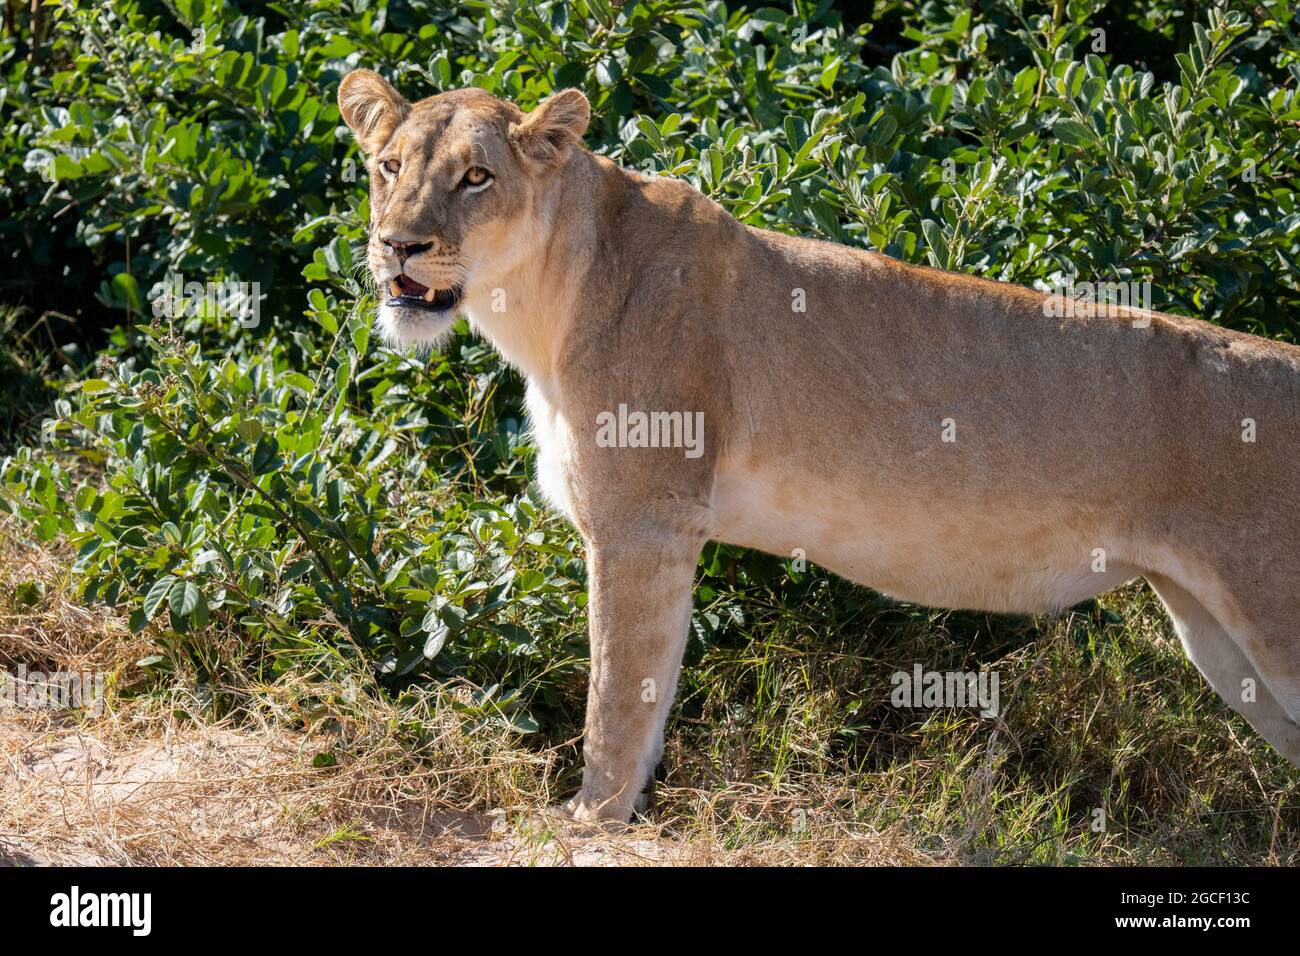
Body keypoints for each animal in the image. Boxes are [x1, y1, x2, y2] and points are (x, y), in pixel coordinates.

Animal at [337, 70, 1300, 822]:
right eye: (388, 169)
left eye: (475, 177)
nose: (398, 246)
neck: (537, 307)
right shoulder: (662, 530)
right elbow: (649, 690)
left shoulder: (642, 520)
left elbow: (617, 689)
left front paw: (590, 819)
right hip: (1214, 633)